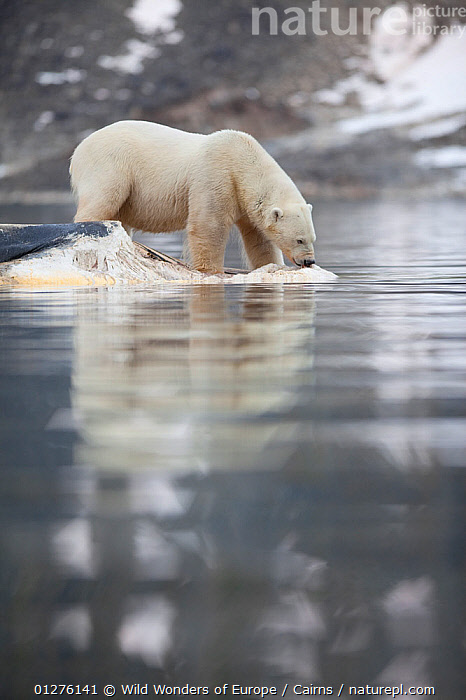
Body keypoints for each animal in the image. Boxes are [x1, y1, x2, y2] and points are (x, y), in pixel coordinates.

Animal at [70, 120, 317, 274]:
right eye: (299, 239)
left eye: (312, 238)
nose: (308, 261)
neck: (242, 160)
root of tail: (78, 149)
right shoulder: (216, 176)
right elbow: (209, 226)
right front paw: (210, 270)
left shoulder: (245, 200)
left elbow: (259, 239)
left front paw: (272, 265)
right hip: (111, 164)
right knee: (103, 199)